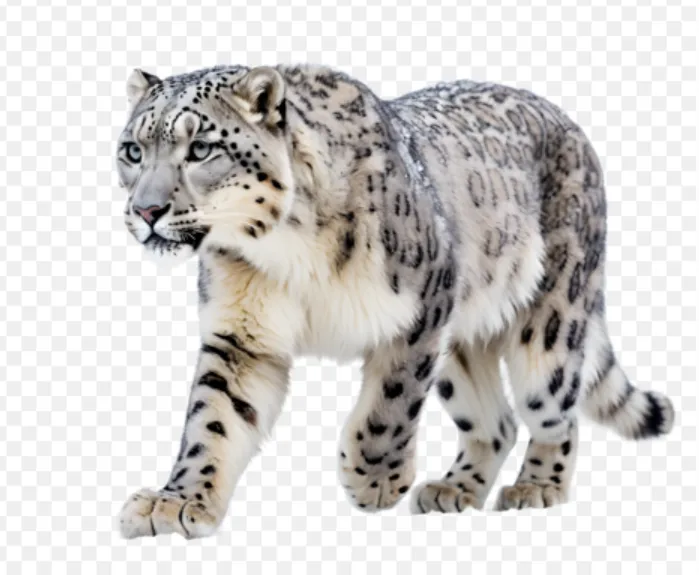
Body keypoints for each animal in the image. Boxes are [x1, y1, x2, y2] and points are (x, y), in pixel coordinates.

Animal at [115, 63, 675, 539]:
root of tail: (569, 122)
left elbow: (390, 404)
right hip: (460, 346)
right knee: (496, 423)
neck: (283, 252)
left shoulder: (422, 308)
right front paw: (178, 501)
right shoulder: (241, 335)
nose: (145, 210)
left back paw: (536, 487)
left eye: (201, 148)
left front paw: (373, 480)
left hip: (552, 318)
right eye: (133, 151)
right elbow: (212, 419)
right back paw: (453, 489)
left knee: (555, 407)